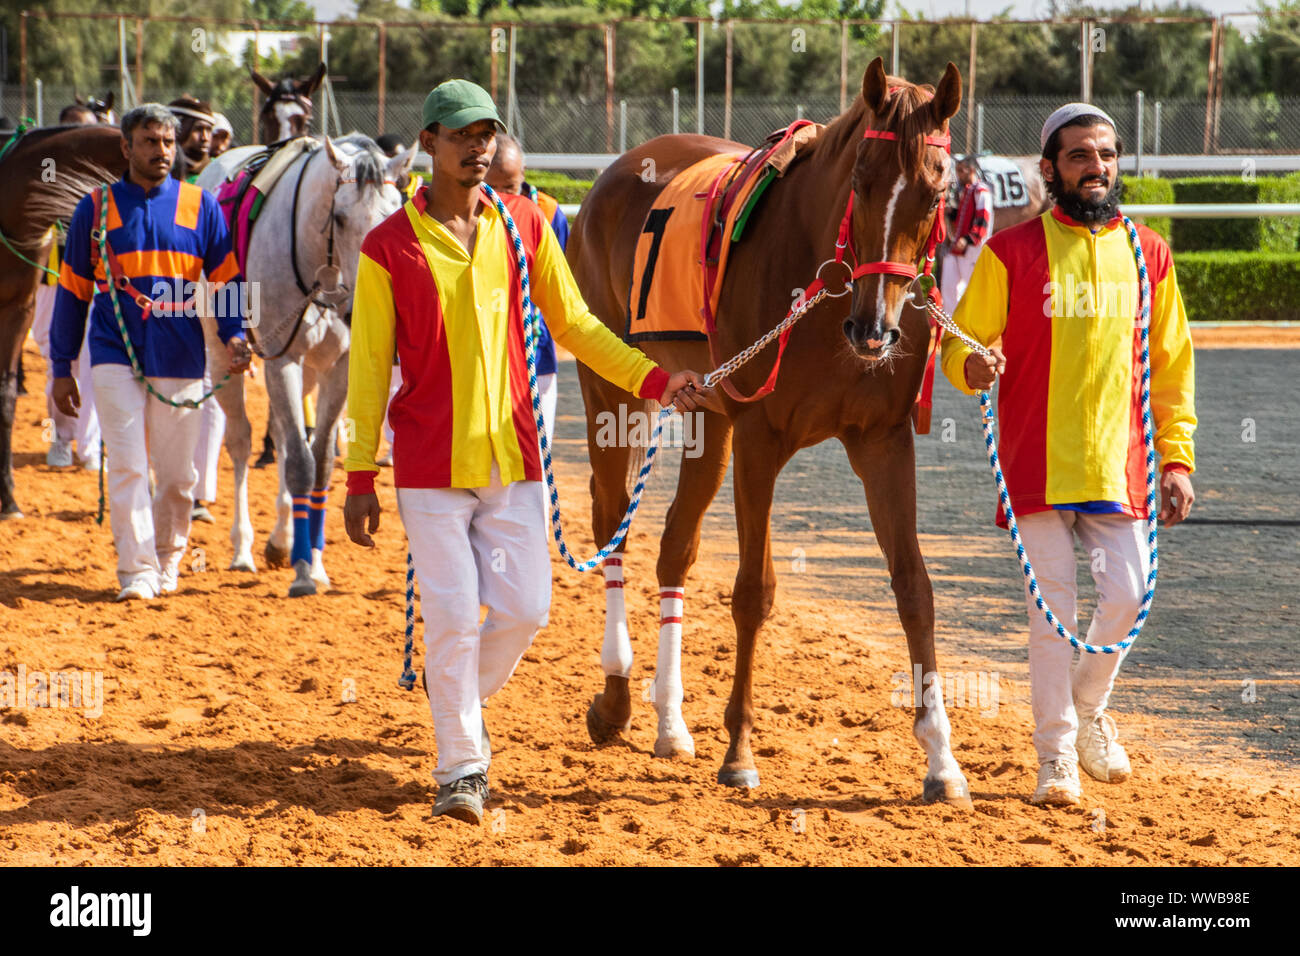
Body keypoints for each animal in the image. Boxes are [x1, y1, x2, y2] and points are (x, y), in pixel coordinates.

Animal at [196, 134, 415, 594]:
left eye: (392, 213)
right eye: (340, 217)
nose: (359, 306)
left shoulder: (341, 367)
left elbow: (321, 462)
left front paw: (312, 562)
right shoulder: (283, 359)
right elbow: (300, 462)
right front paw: (301, 573)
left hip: (310, 370)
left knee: (281, 435)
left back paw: (282, 539)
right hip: (223, 352)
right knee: (242, 441)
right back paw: (243, 549)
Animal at [567, 57, 973, 805]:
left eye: (936, 193)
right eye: (861, 180)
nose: (875, 331)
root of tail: (620, 169)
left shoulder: (883, 440)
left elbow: (914, 589)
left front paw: (941, 760)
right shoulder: (760, 439)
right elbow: (754, 592)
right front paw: (740, 751)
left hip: (704, 408)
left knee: (674, 550)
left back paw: (670, 724)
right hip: (613, 386)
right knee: (613, 525)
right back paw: (615, 698)